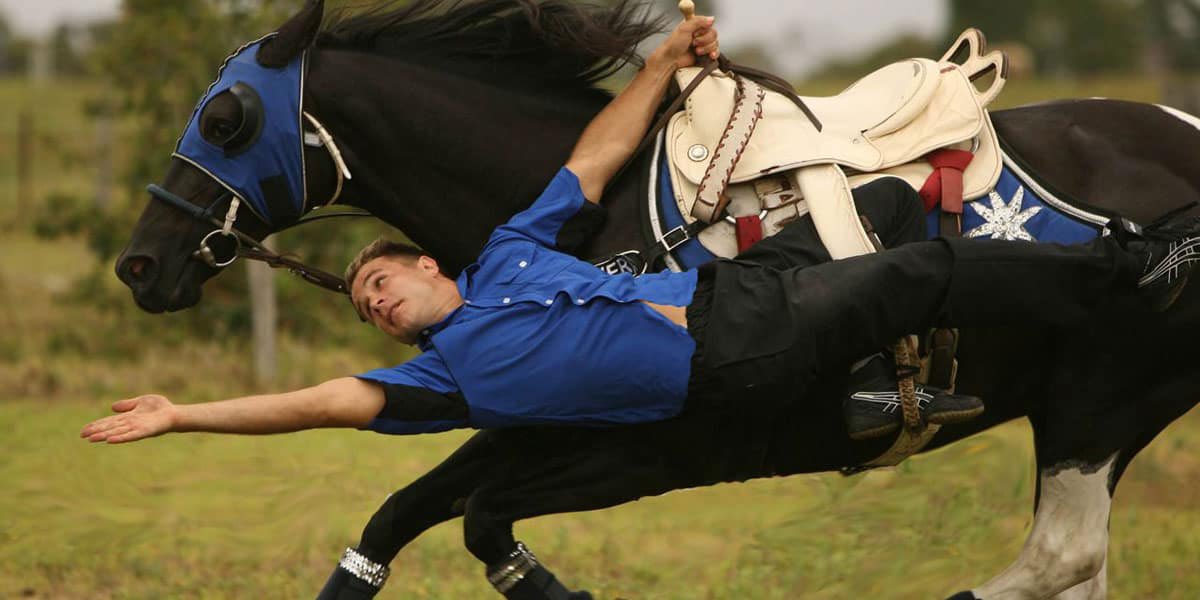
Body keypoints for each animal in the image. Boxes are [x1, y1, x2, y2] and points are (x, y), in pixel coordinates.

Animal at [113, 1, 1200, 598]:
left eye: (225, 116)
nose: (140, 265)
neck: (597, 232)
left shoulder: (661, 453)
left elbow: (478, 518)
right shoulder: (528, 426)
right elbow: (404, 515)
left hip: (1096, 407)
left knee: (1058, 558)